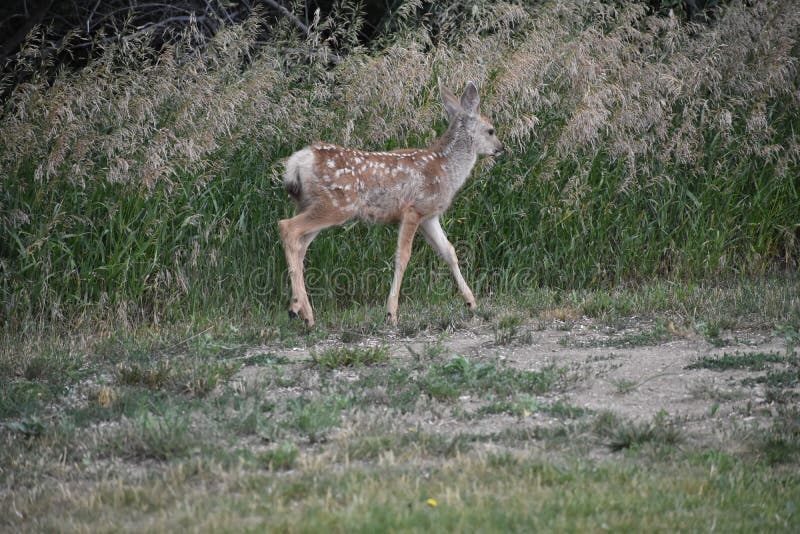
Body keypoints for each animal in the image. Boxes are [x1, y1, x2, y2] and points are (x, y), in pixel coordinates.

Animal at [278, 79, 504, 327]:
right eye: (491, 130)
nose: (501, 148)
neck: (445, 168)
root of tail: (299, 161)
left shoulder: (430, 216)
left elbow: (449, 251)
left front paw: (471, 302)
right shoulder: (414, 209)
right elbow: (402, 257)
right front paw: (391, 313)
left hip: (313, 206)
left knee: (300, 246)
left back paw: (303, 312)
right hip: (335, 204)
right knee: (287, 227)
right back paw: (299, 310)